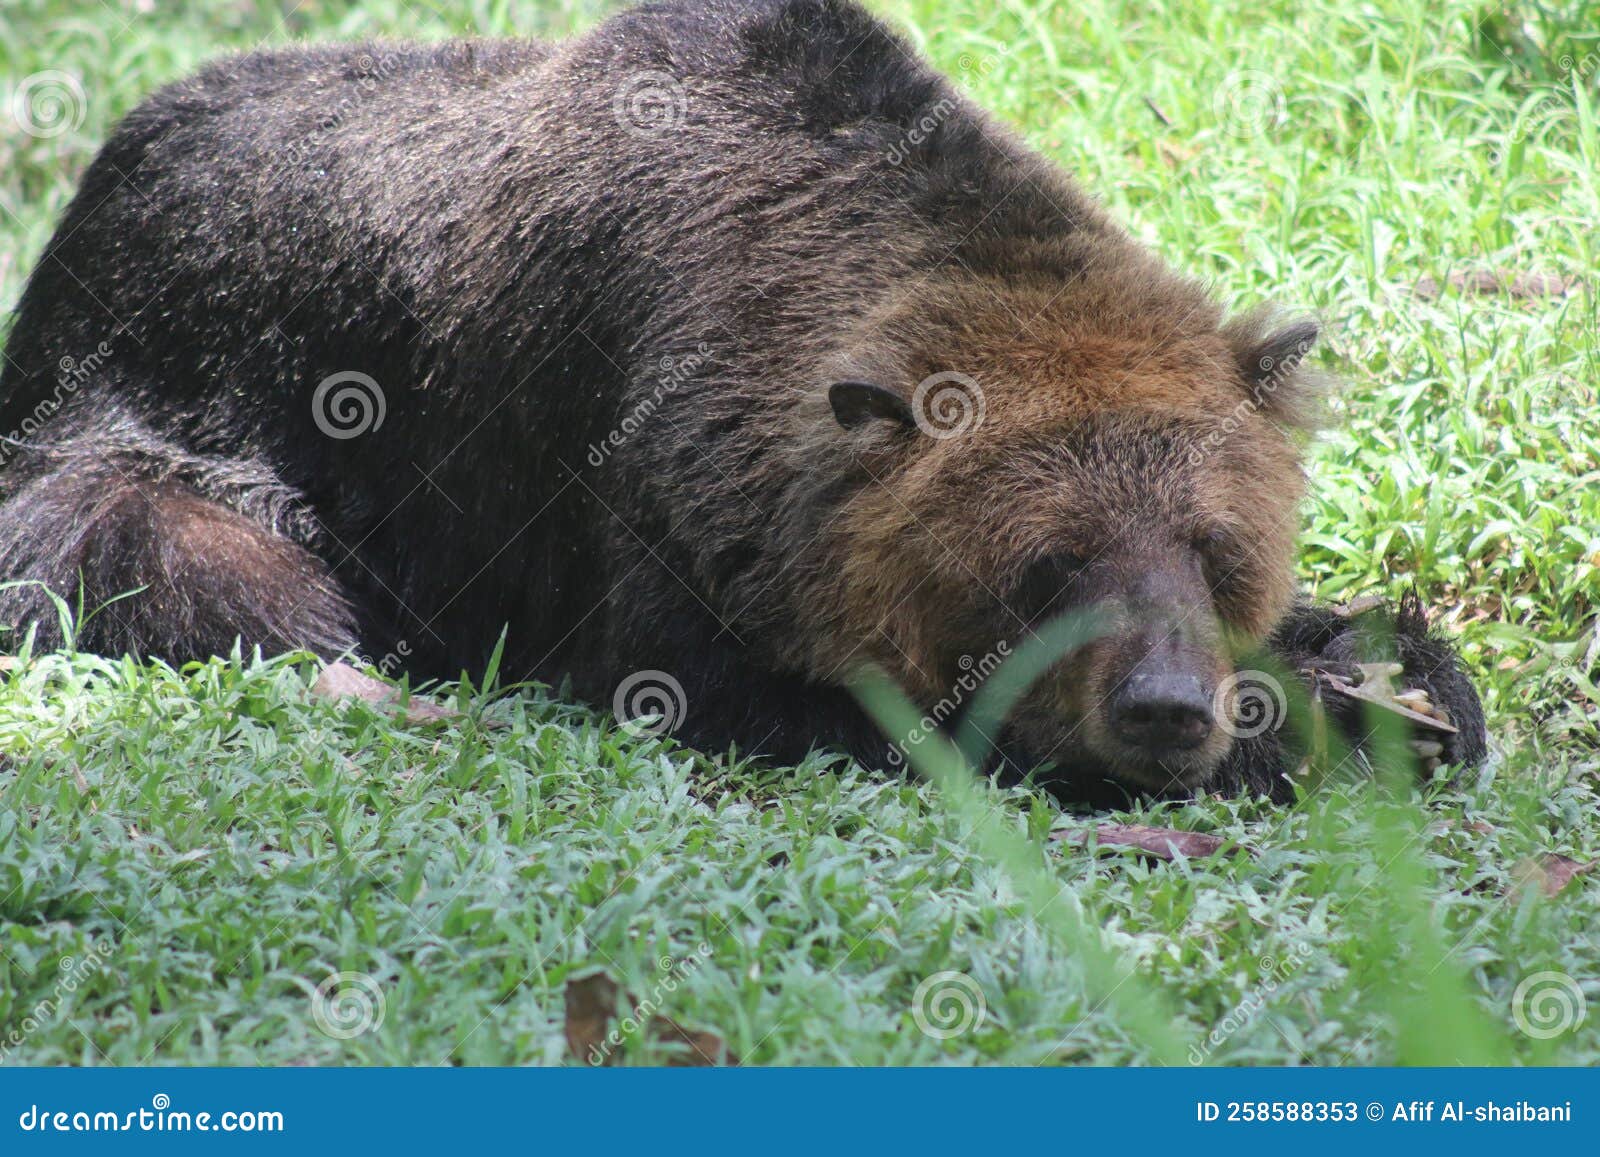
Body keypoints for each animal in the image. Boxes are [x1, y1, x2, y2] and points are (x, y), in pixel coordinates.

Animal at [0, 0, 1485, 802]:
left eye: (1215, 547)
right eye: (1048, 562)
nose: (1168, 707)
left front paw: (1393, 675)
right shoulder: (628, 489)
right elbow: (783, 697)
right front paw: (1306, 720)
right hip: (138, 429)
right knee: (207, 563)